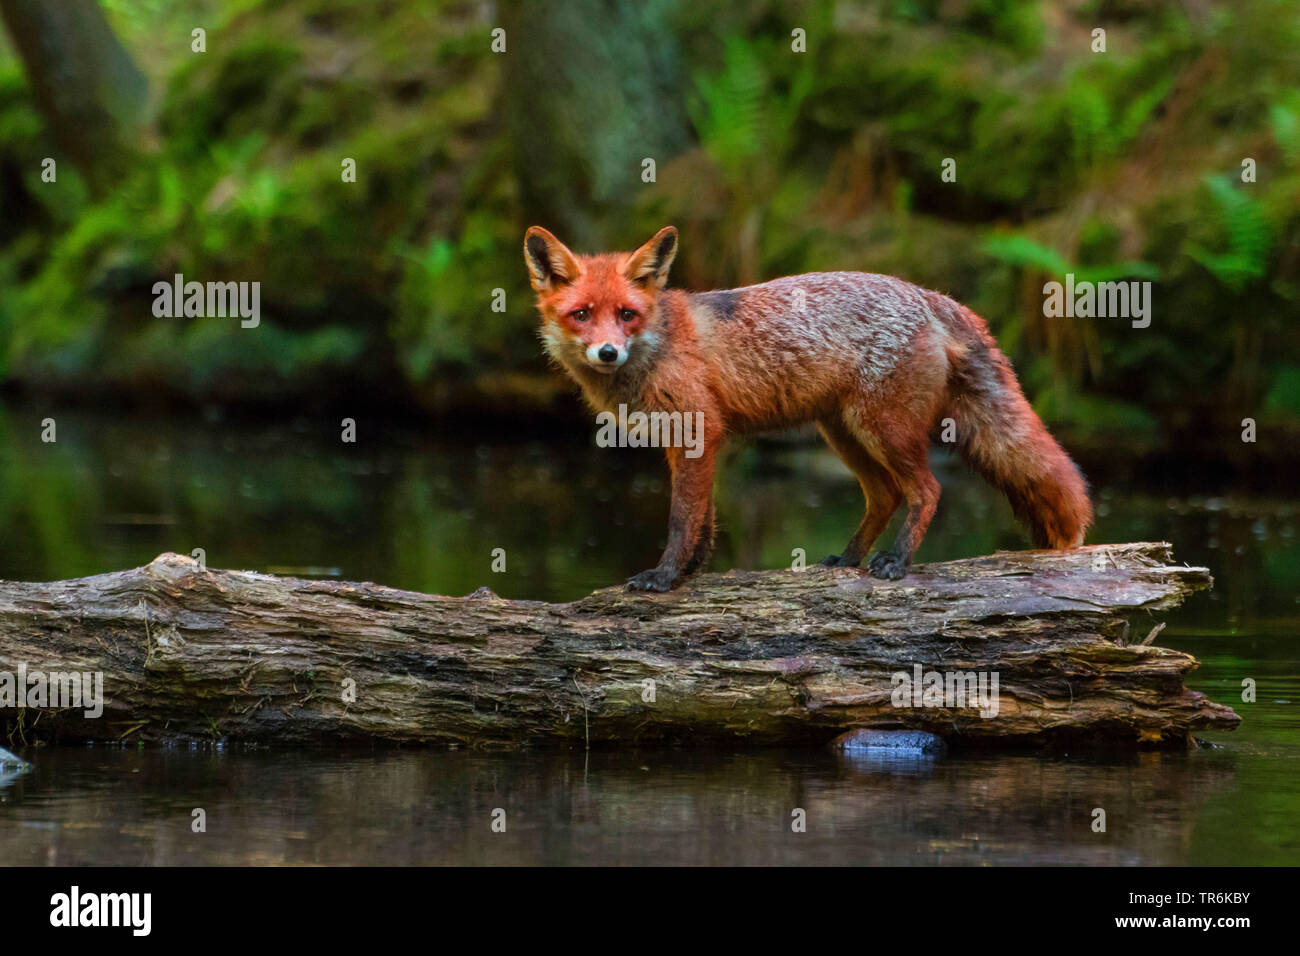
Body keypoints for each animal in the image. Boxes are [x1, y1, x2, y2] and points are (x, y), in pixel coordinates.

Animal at [524, 224, 1092, 593]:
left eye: (626, 314)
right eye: (581, 315)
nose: (607, 352)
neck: (659, 345)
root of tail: (929, 295)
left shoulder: (698, 434)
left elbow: (683, 520)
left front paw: (665, 578)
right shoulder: (685, 441)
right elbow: (705, 522)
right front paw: (689, 574)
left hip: (882, 429)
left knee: (926, 490)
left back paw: (896, 562)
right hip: (842, 433)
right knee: (885, 495)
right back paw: (849, 559)